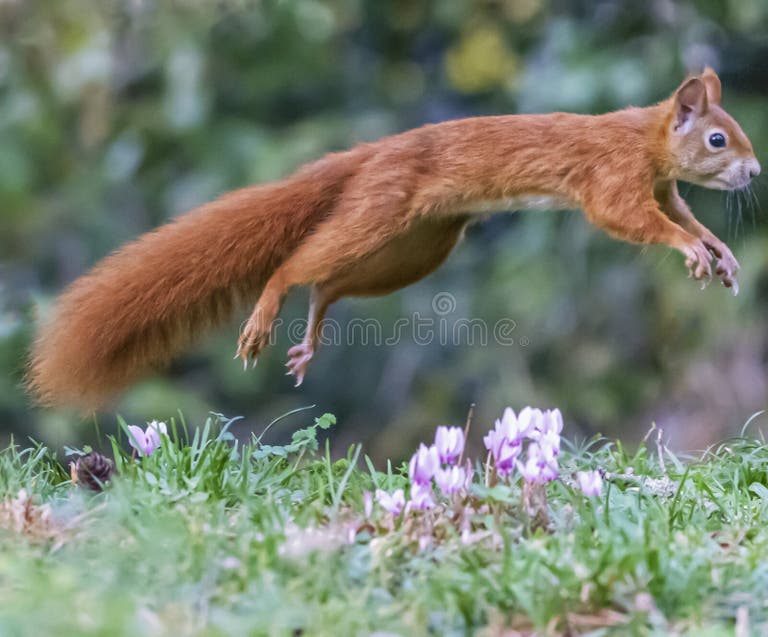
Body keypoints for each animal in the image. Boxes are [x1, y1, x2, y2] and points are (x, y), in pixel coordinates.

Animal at [28, 68, 760, 410]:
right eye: (717, 139)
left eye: (736, 131)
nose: (756, 171)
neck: (644, 137)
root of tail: (370, 154)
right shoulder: (612, 178)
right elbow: (629, 220)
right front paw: (692, 251)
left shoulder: (663, 189)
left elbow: (682, 216)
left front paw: (719, 253)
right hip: (376, 213)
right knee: (297, 264)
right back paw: (265, 315)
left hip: (417, 248)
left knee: (329, 284)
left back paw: (311, 333)